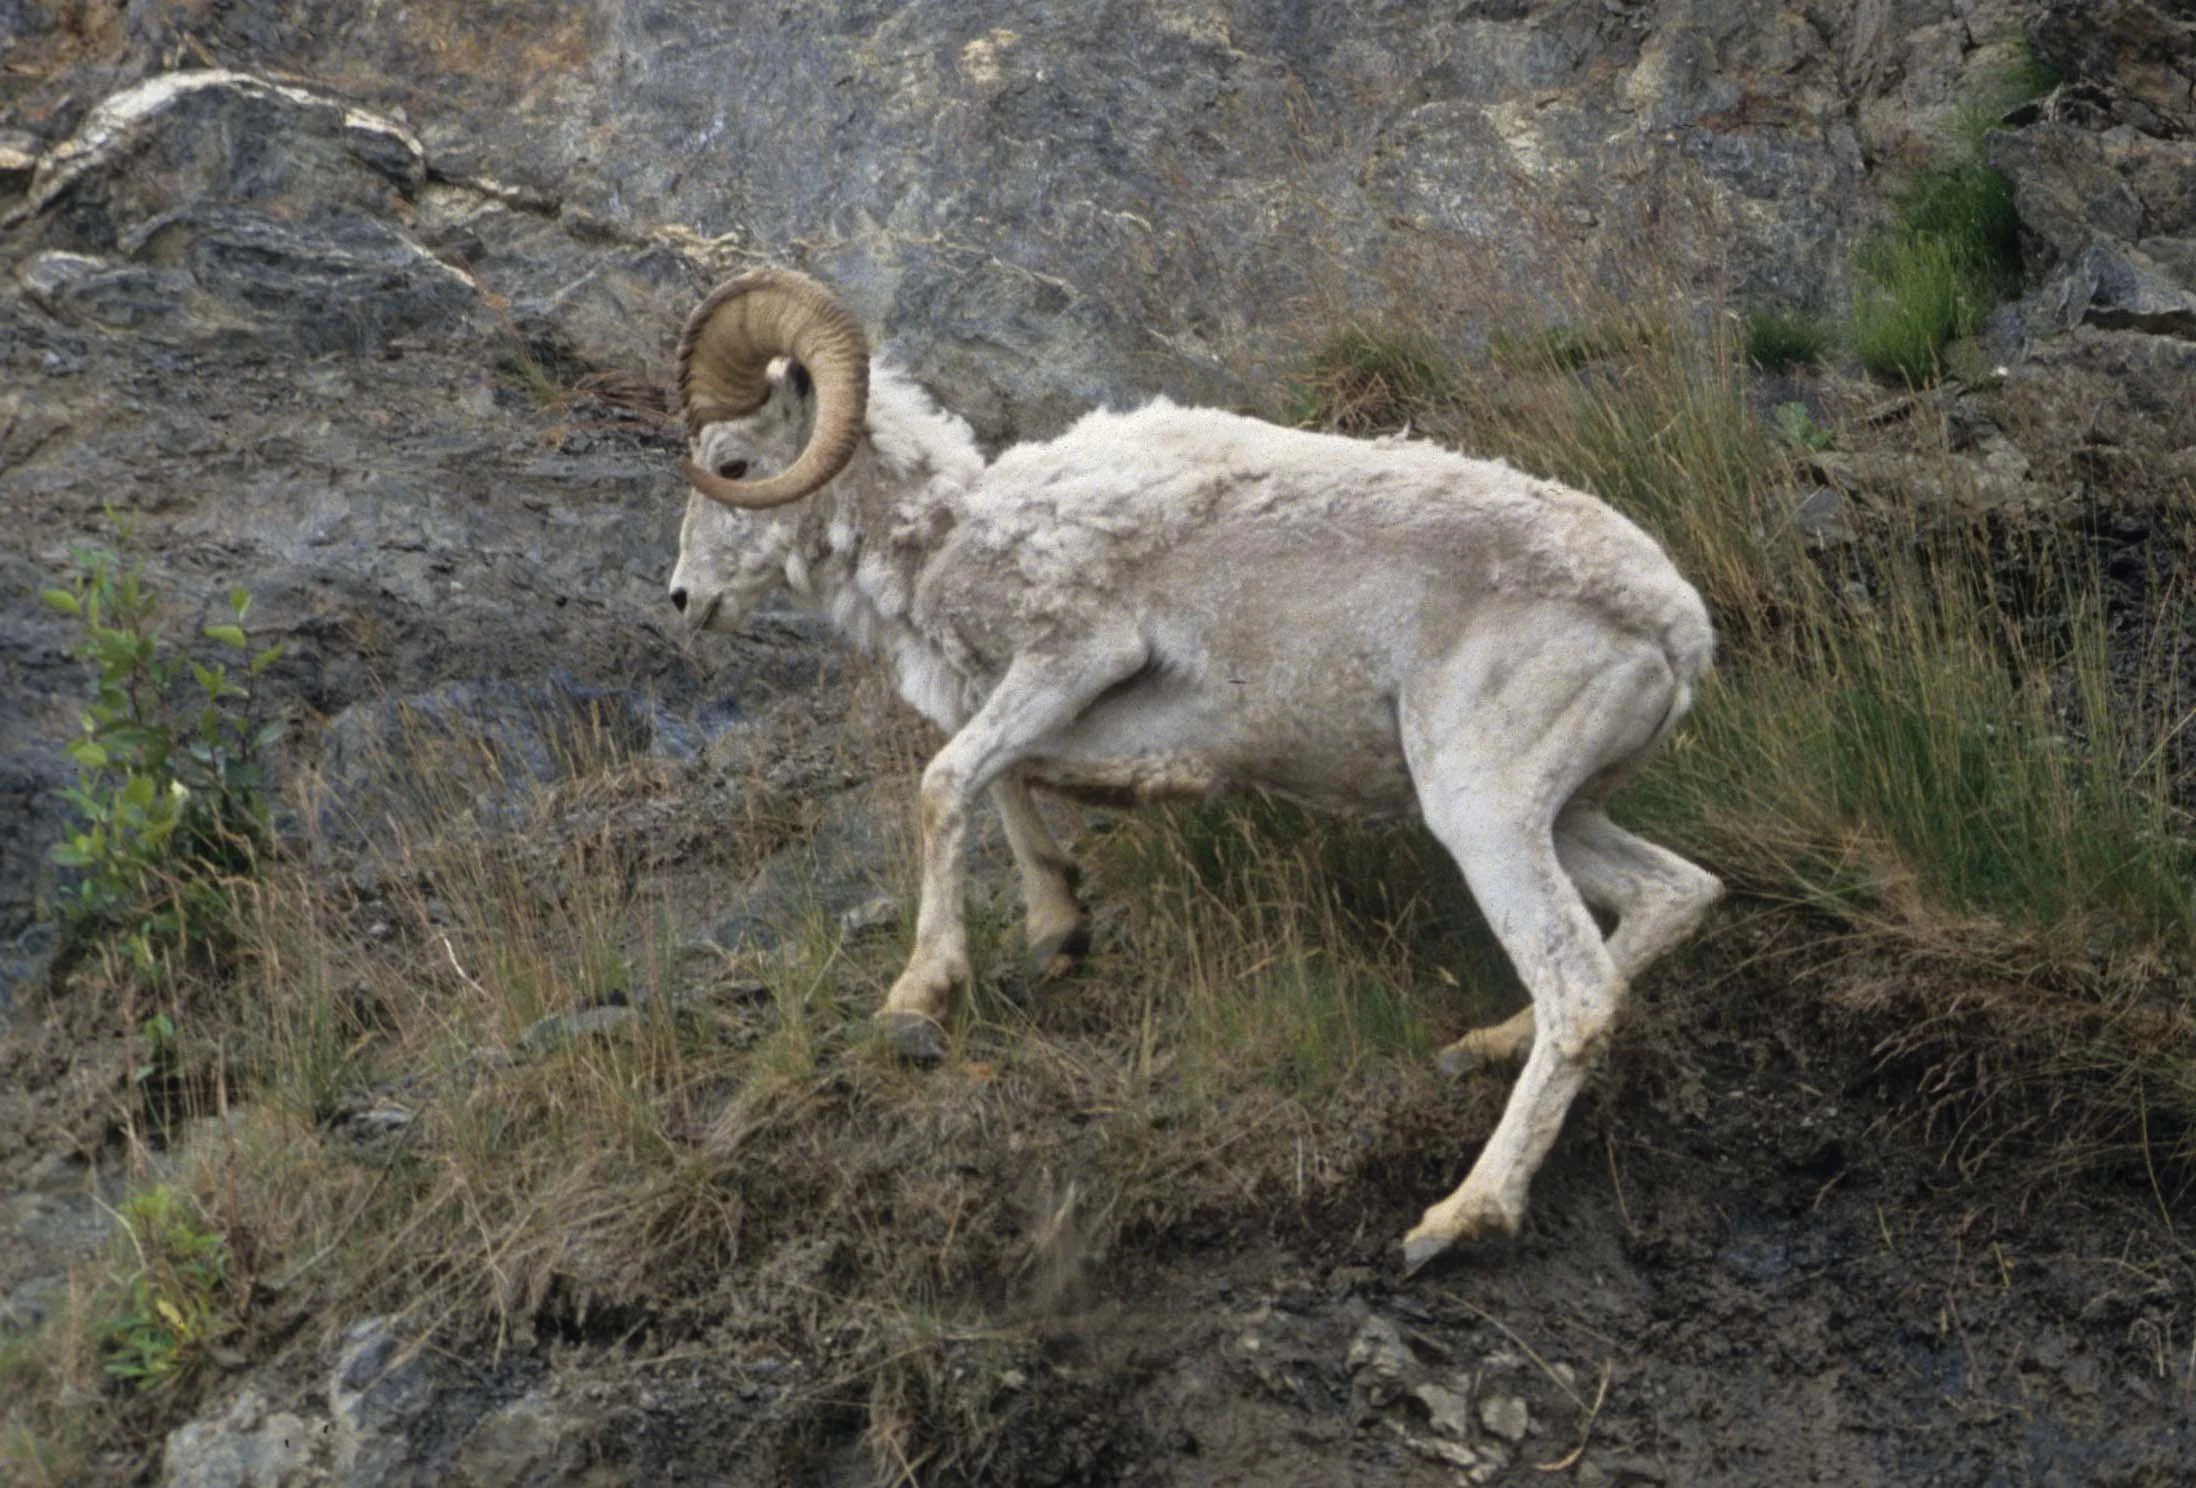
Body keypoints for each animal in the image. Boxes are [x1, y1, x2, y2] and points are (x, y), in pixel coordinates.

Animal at [666, 268, 1723, 1270]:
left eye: (732, 465)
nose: (684, 599)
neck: (954, 534)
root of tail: (1673, 631)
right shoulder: (1077, 719)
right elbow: (1003, 775)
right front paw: (1058, 929)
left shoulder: (1074, 657)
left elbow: (947, 781)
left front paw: (919, 996)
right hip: (1561, 814)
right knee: (1673, 895)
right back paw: (1486, 1046)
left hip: (1484, 812)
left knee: (1580, 989)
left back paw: (1457, 1220)